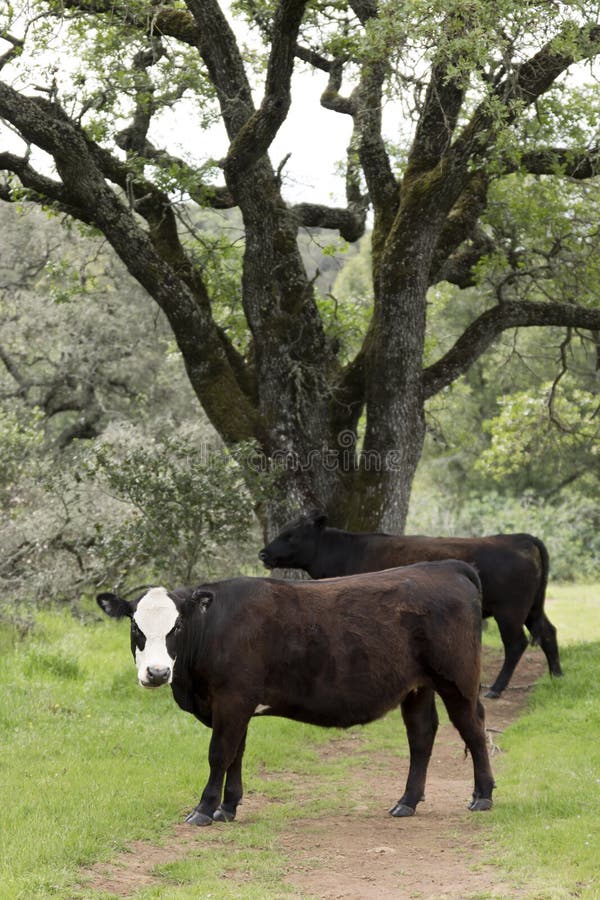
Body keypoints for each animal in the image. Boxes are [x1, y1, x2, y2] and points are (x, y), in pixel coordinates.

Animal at [97, 561, 494, 826]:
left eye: (177, 625)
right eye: (135, 626)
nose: (157, 672)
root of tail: (445, 566)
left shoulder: (231, 699)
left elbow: (219, 754)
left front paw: (204, 809)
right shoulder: (236, 706)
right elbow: (236, 754)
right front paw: (228, 807)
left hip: (458, 681)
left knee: (473, 729)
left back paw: (483, 796)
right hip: (417, 686)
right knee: (422, 736)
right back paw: (407, 801)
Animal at [259, 511, 562, 699]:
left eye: (291, 535)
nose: (263, 553)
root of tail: (520, 537)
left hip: (509, 611)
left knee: (516, 644)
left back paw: (496, 688)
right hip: (531, 607)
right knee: (548, 631)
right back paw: (556, 675)